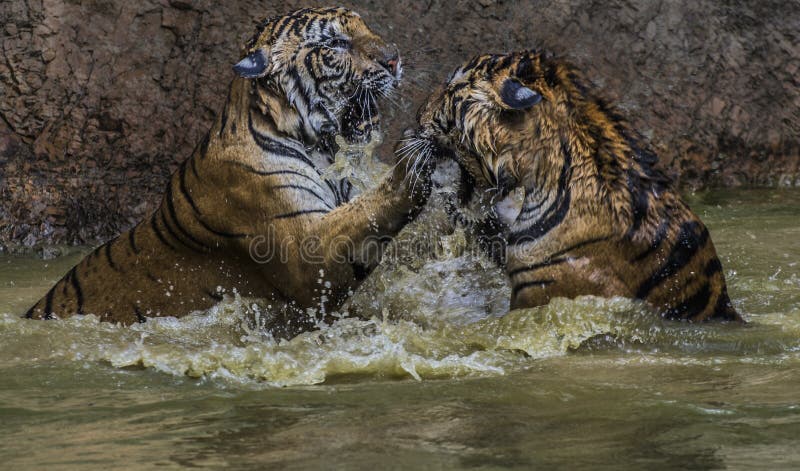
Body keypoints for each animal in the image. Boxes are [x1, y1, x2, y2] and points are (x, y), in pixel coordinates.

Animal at [24, 7, 433, 335]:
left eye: (365, 26)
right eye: (334, 42)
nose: (395, 60)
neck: (319, 145)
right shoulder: (304, 251)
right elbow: (364, 214)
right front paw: (412, 161)